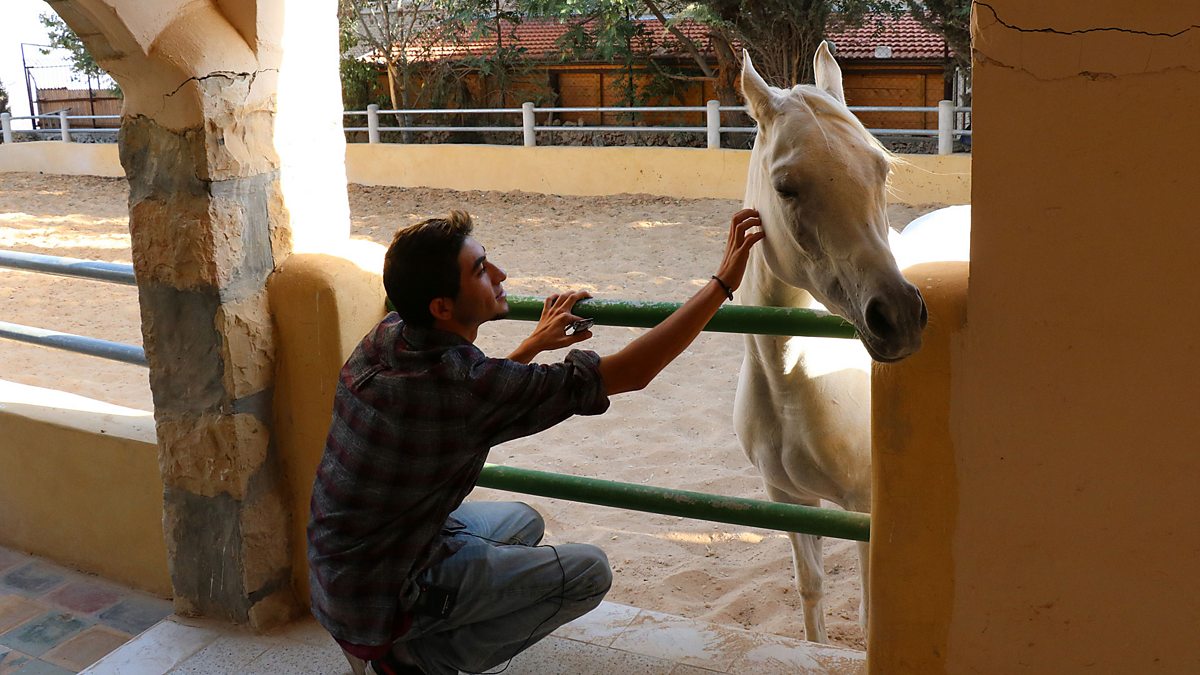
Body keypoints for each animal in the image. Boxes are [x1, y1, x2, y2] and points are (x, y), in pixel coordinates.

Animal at [733, 43, 964, 644]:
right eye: (786, 186)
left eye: (882, 168)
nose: (899, 316)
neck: (791, 381)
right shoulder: (787, 500)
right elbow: (810, 587)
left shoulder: (864, 508)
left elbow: (868, 614)